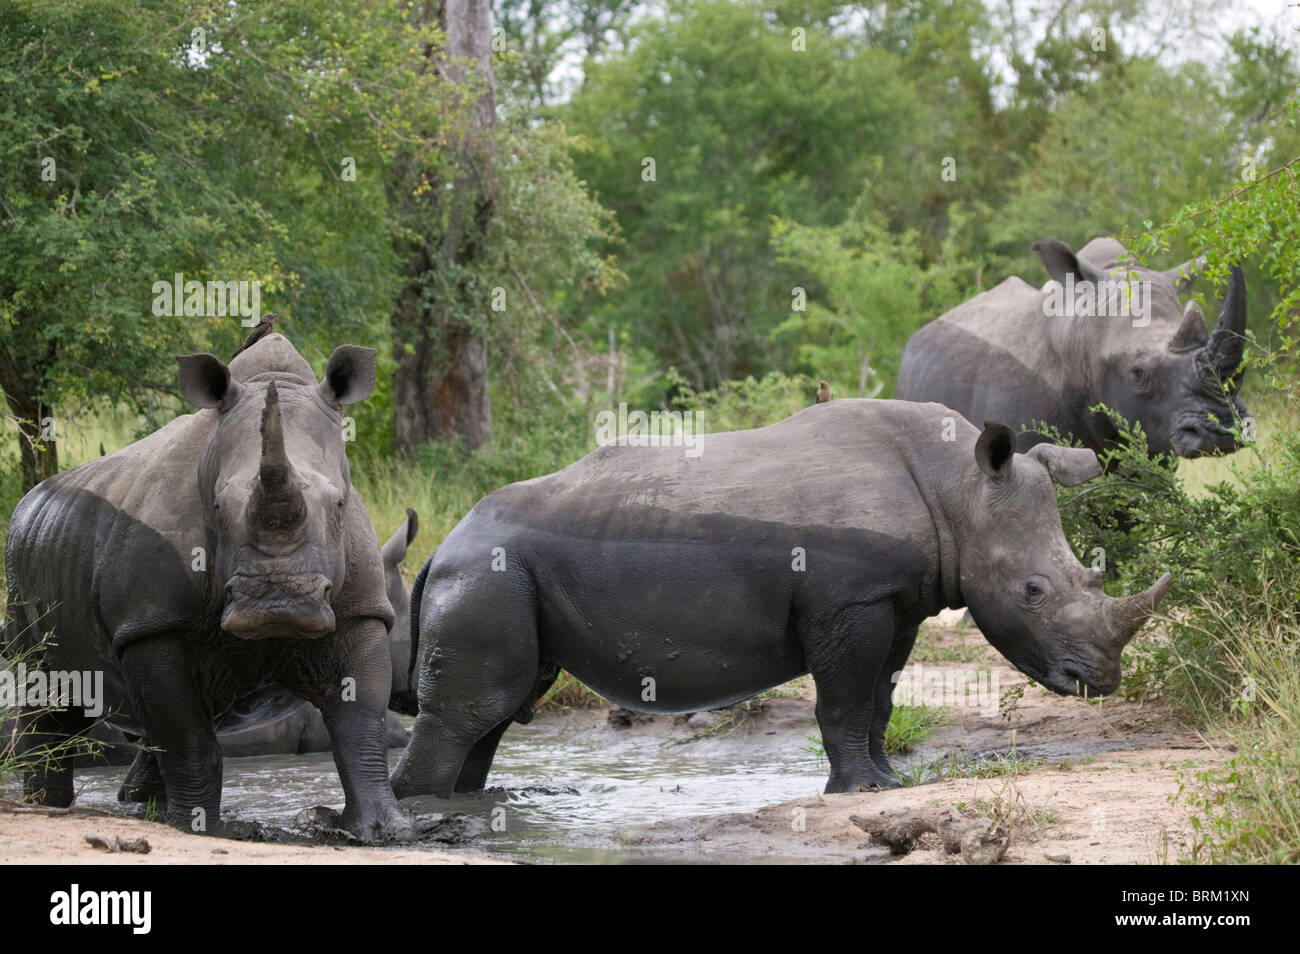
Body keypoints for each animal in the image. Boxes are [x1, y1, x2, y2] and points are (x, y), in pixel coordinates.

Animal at [3, 333, 412, 841]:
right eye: (216, 508)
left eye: (339, 503)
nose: (278, 602)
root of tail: (31, 499)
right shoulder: (153, 622)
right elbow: (185, 732)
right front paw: (196, 827)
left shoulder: (359, 609)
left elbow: (361, 719)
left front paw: (383, 832)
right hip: (21, 567)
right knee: (48, 694)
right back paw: (51, 805)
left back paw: (141, 807)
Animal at [390, 399, 1171, 798]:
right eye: (1032, 591)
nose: (1100, 680)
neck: (957, 488)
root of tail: (446, 540)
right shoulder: (849, 602)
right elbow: (845, 700)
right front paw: (860, 793)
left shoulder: (897, 603)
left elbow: (880, 700)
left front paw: (891, 782)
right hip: (486, 571)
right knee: (478, 709)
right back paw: (415, 810)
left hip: (506, 570)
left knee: (501, 711)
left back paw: (463, 804)